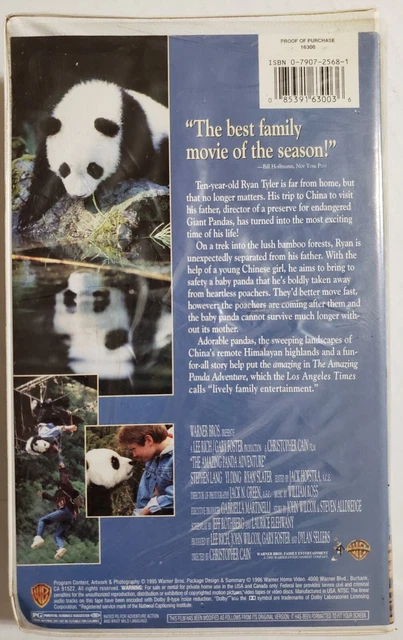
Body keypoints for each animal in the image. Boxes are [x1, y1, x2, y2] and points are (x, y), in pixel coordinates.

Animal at [18, 80, 169, 229]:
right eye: (64, 169)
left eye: (93, 168)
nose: (79, 194)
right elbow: (45, 177)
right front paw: (27, 215)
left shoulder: (134, 129)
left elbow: (130, 166)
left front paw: (94, 199)